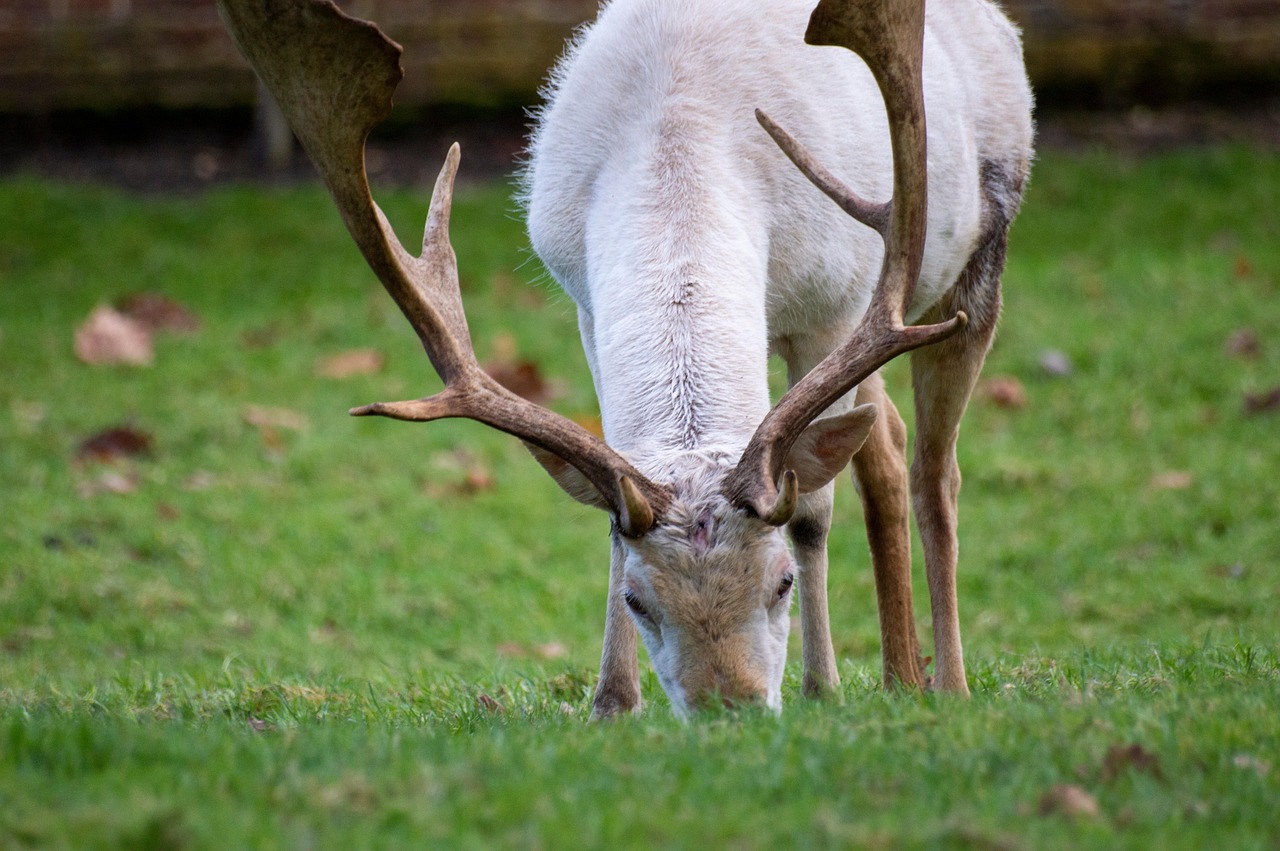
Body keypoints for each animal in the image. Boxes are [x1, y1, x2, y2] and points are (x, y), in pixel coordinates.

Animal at [217, 0, 1033, 718]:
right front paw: (610, 700)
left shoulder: (835, 306)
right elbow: (612, 500)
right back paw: (900, 674)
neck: (678, 124)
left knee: (932, 470)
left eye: (781, 584)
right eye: (641, 598)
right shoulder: (581, 298)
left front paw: (822, 689)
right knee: (884, 438)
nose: (729, 708)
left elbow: (811, 507)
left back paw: (943, 683)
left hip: (978, 263)